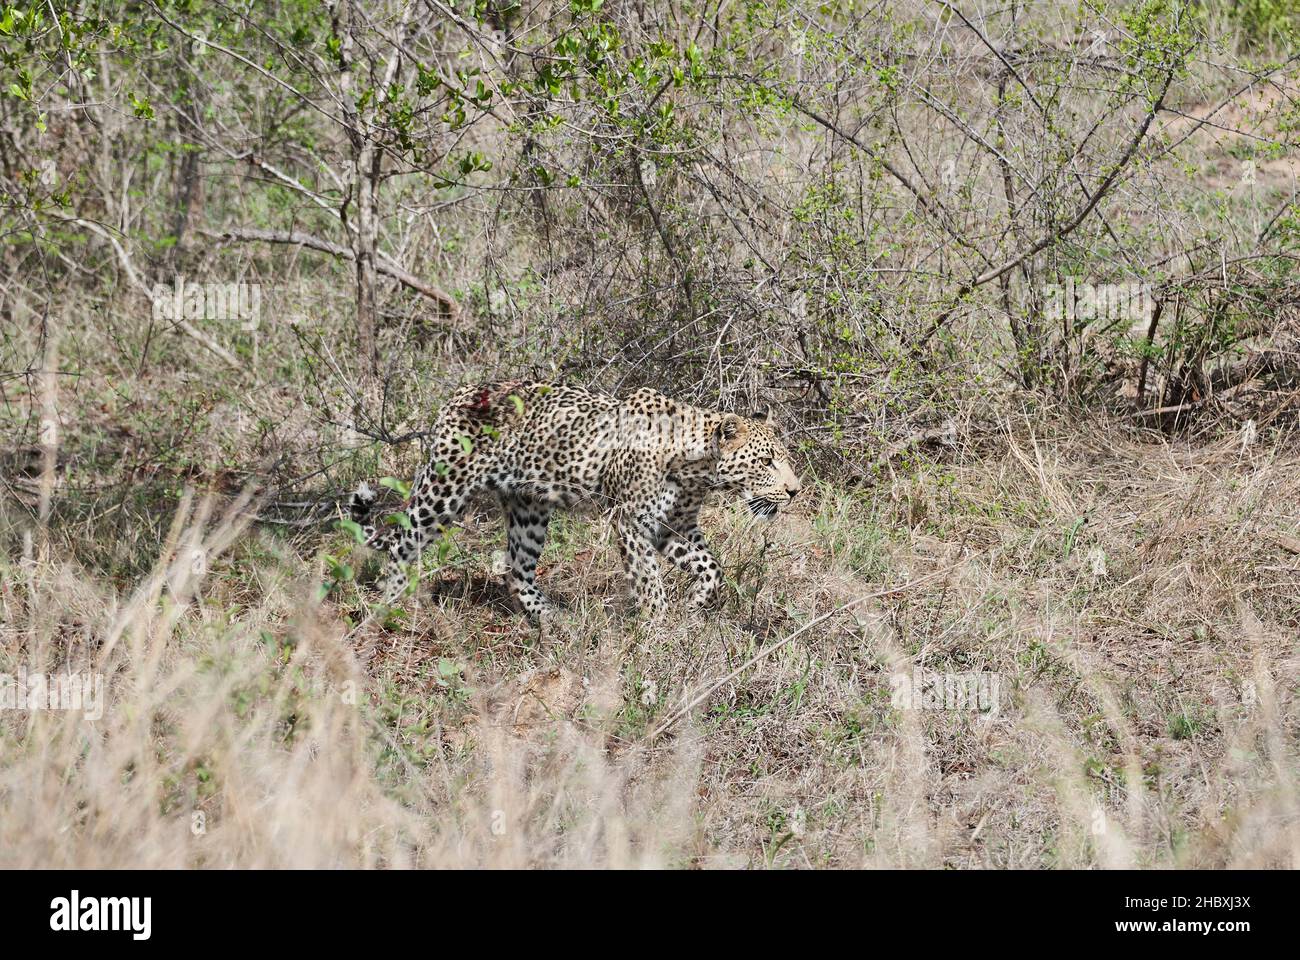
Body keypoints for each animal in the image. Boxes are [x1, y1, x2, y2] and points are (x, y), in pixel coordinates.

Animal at [347, 380, 802, 619]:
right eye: (765, 461)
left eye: (783, 459)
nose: (795, 491)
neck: (697, 468)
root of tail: (458, 394)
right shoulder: (632, 521)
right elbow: (649, 582)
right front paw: (658, 630)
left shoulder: (674, 526)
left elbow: (711, 567)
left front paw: (693, 607)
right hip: (444, 491)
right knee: (402, 544)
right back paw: (389, 605)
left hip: (528, 509)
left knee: (518, 570)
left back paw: (552, 620)